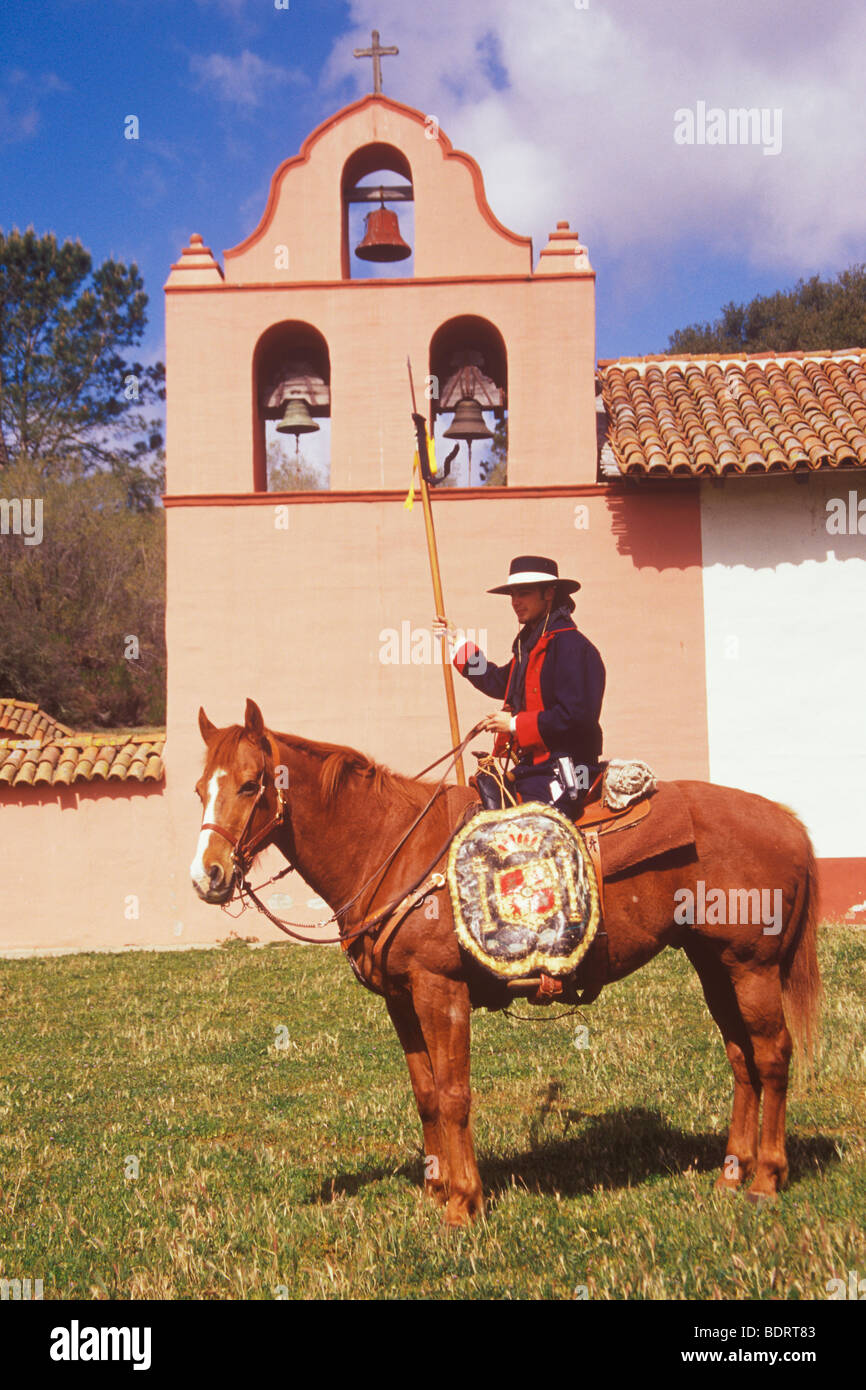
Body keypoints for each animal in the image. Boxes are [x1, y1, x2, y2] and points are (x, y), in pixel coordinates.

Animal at [190, 699, 821, 1228]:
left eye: (250, 784)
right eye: (199, 789)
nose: (207, 877)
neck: (392, 847)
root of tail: (788, 820)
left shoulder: (440, 990)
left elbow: (453, 1094)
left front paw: (463, 1202)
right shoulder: (401, 999)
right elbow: (425, 1094)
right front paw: (436, 1189)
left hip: (753, 967)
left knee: (771, 1056)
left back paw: (766, 1177)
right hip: (714, 964)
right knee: (740, 1058)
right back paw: (731, 1173)